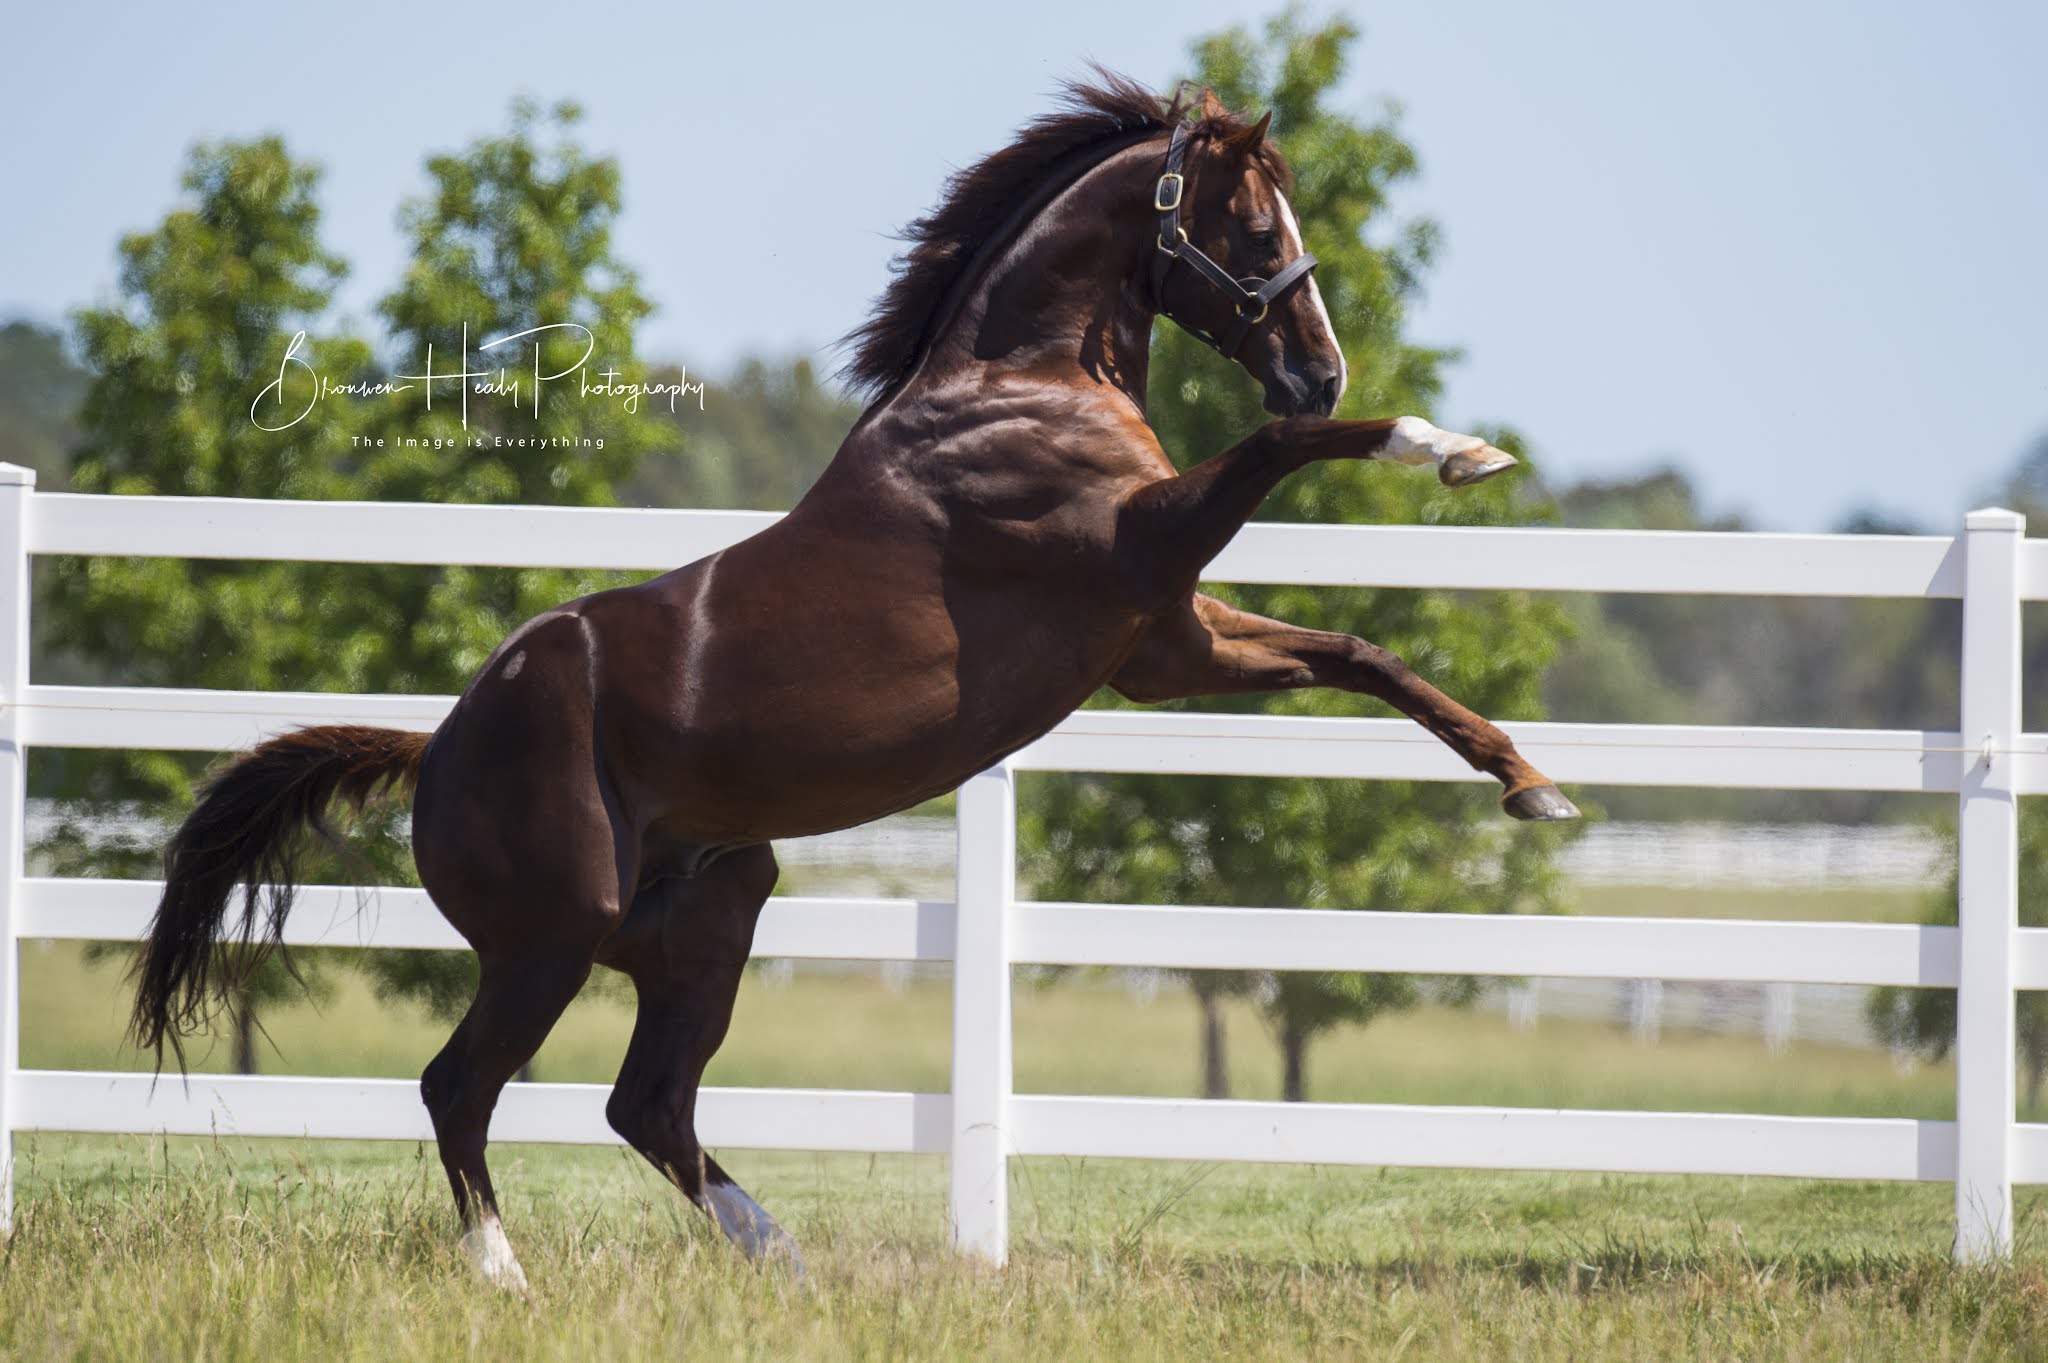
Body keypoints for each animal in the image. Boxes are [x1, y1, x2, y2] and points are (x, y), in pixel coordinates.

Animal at [128, 71, 1578, 1289]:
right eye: (1253, 219)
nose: (1319, 364)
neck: (1020, 384)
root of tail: (436, 748)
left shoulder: (1163, 644)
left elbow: (1362, 655)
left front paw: (1530, 784)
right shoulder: (1145, 552)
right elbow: (1279, 455)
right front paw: (1448, 448)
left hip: (707, 921)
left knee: (646, 1105)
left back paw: (785, 1259)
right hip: (547, 940)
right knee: (459, 1087)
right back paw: (508, 1273)